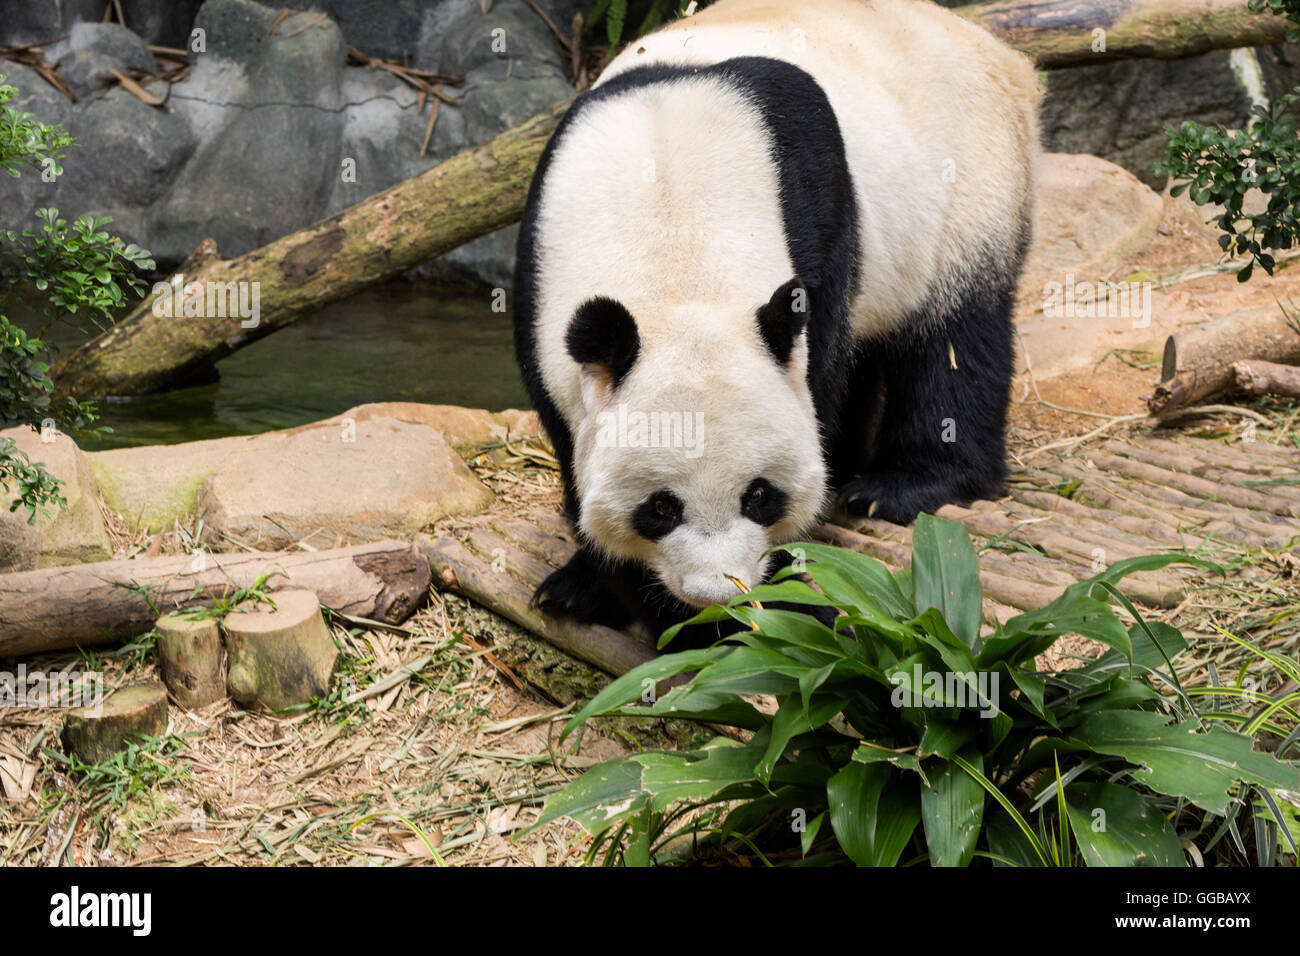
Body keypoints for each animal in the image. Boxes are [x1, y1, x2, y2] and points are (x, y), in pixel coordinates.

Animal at [512, 0, 1040, 639]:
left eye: (759, 495)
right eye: (661, 507)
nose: (718, 595)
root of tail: (993, 47)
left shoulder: (818, 223)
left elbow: (819, 382)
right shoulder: (540, 276)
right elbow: (573, 443)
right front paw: (597, 588)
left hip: (967, 188)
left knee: (955, 340)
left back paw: (901, 485)